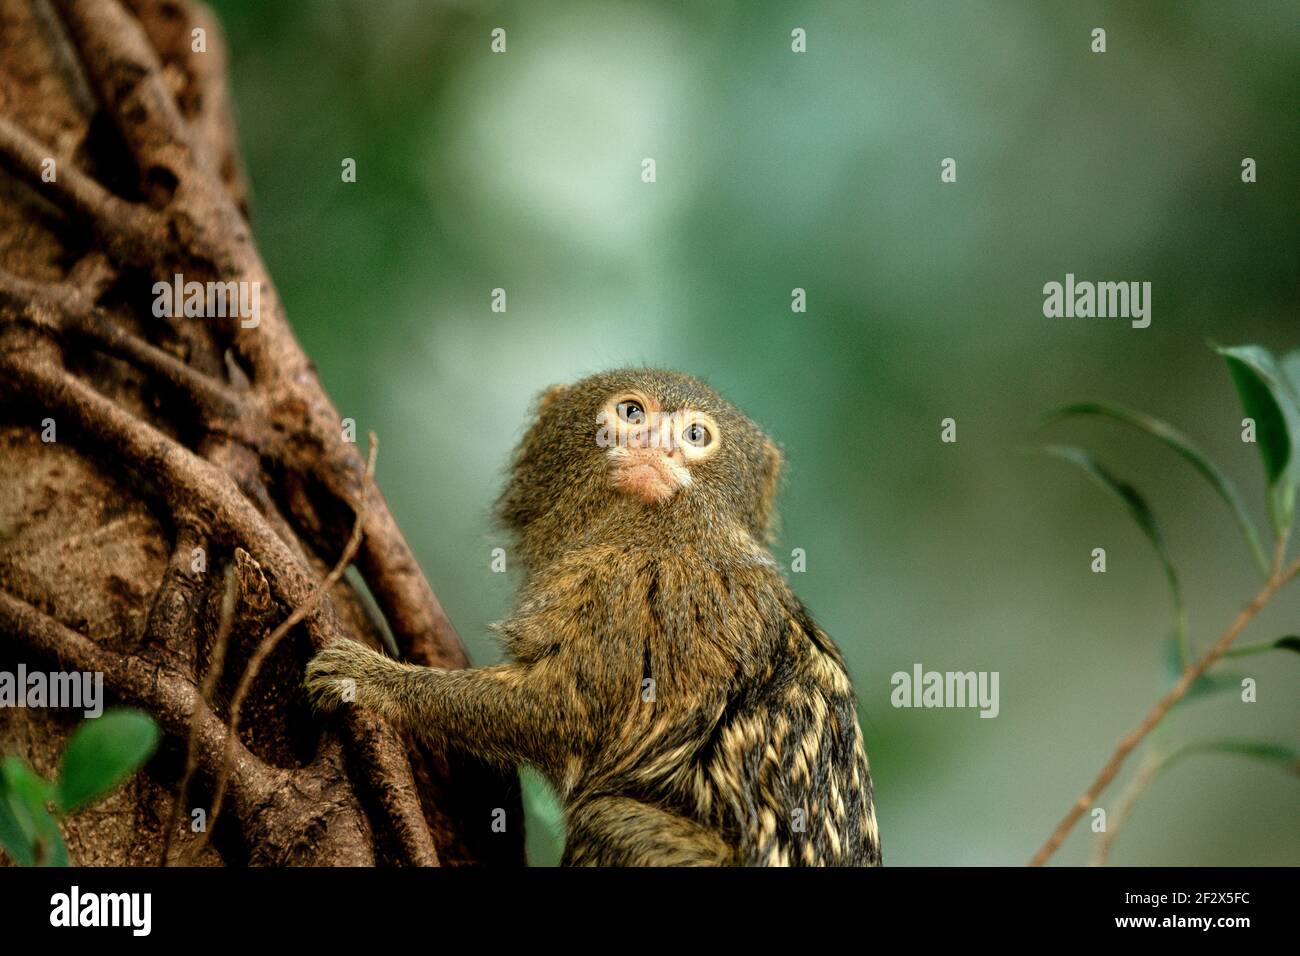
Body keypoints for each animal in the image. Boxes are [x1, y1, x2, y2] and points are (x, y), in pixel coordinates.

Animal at [305, 368, 881, 866]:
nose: (657, 446)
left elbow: (565, 710)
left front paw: (373, 681)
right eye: (631, 412)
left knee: (607, 819)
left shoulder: (628, 591)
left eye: (696, 435)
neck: (659, 538)